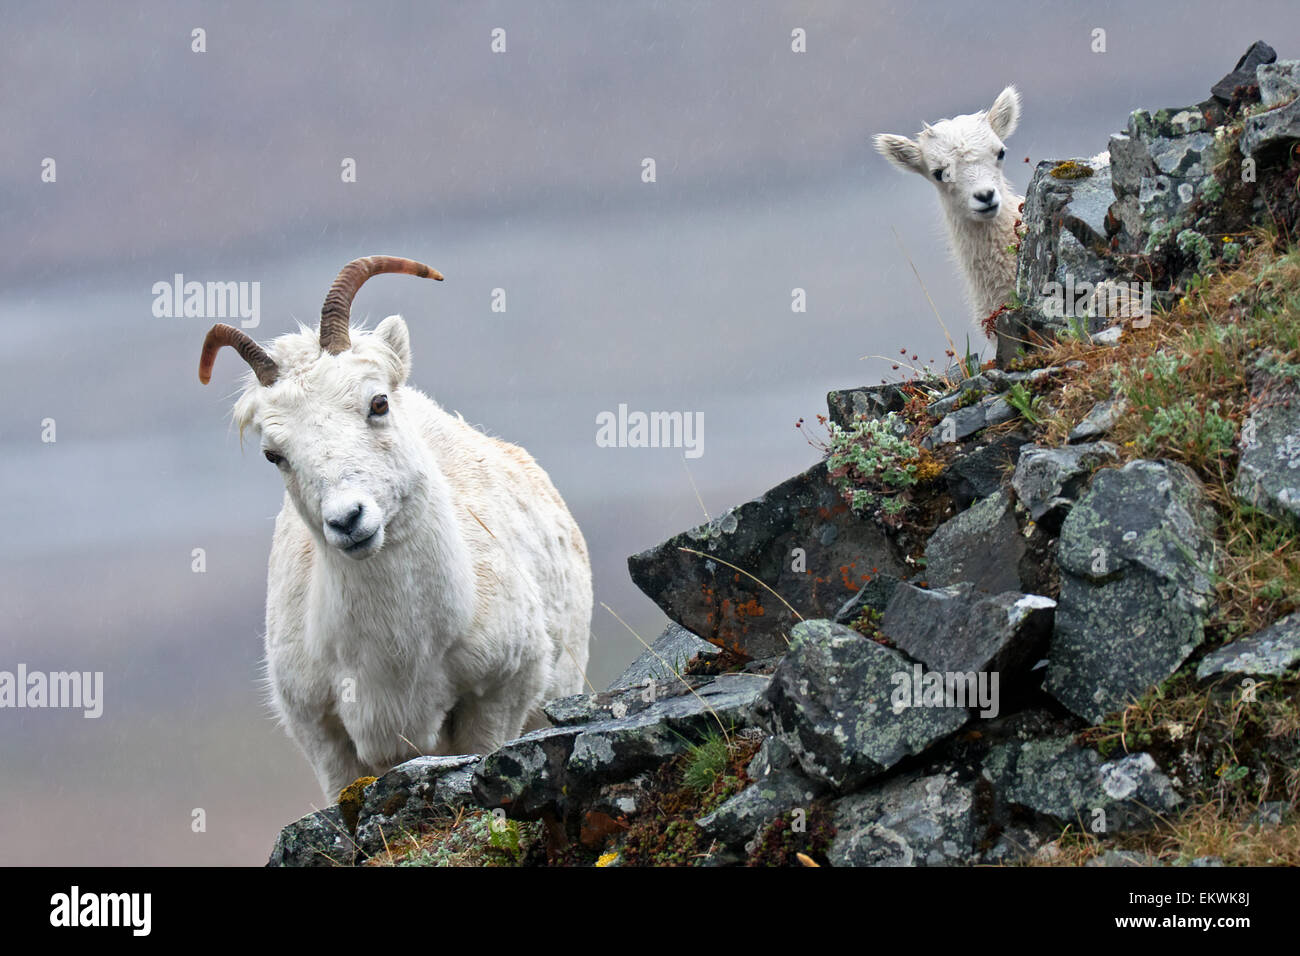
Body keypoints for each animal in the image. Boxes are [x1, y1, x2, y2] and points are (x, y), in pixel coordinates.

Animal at [198, 256, 593, 799]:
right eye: (274, 454)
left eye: (378, 403)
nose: (348, 520)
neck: (403, 654)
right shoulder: (326, 743)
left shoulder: (498, 701)